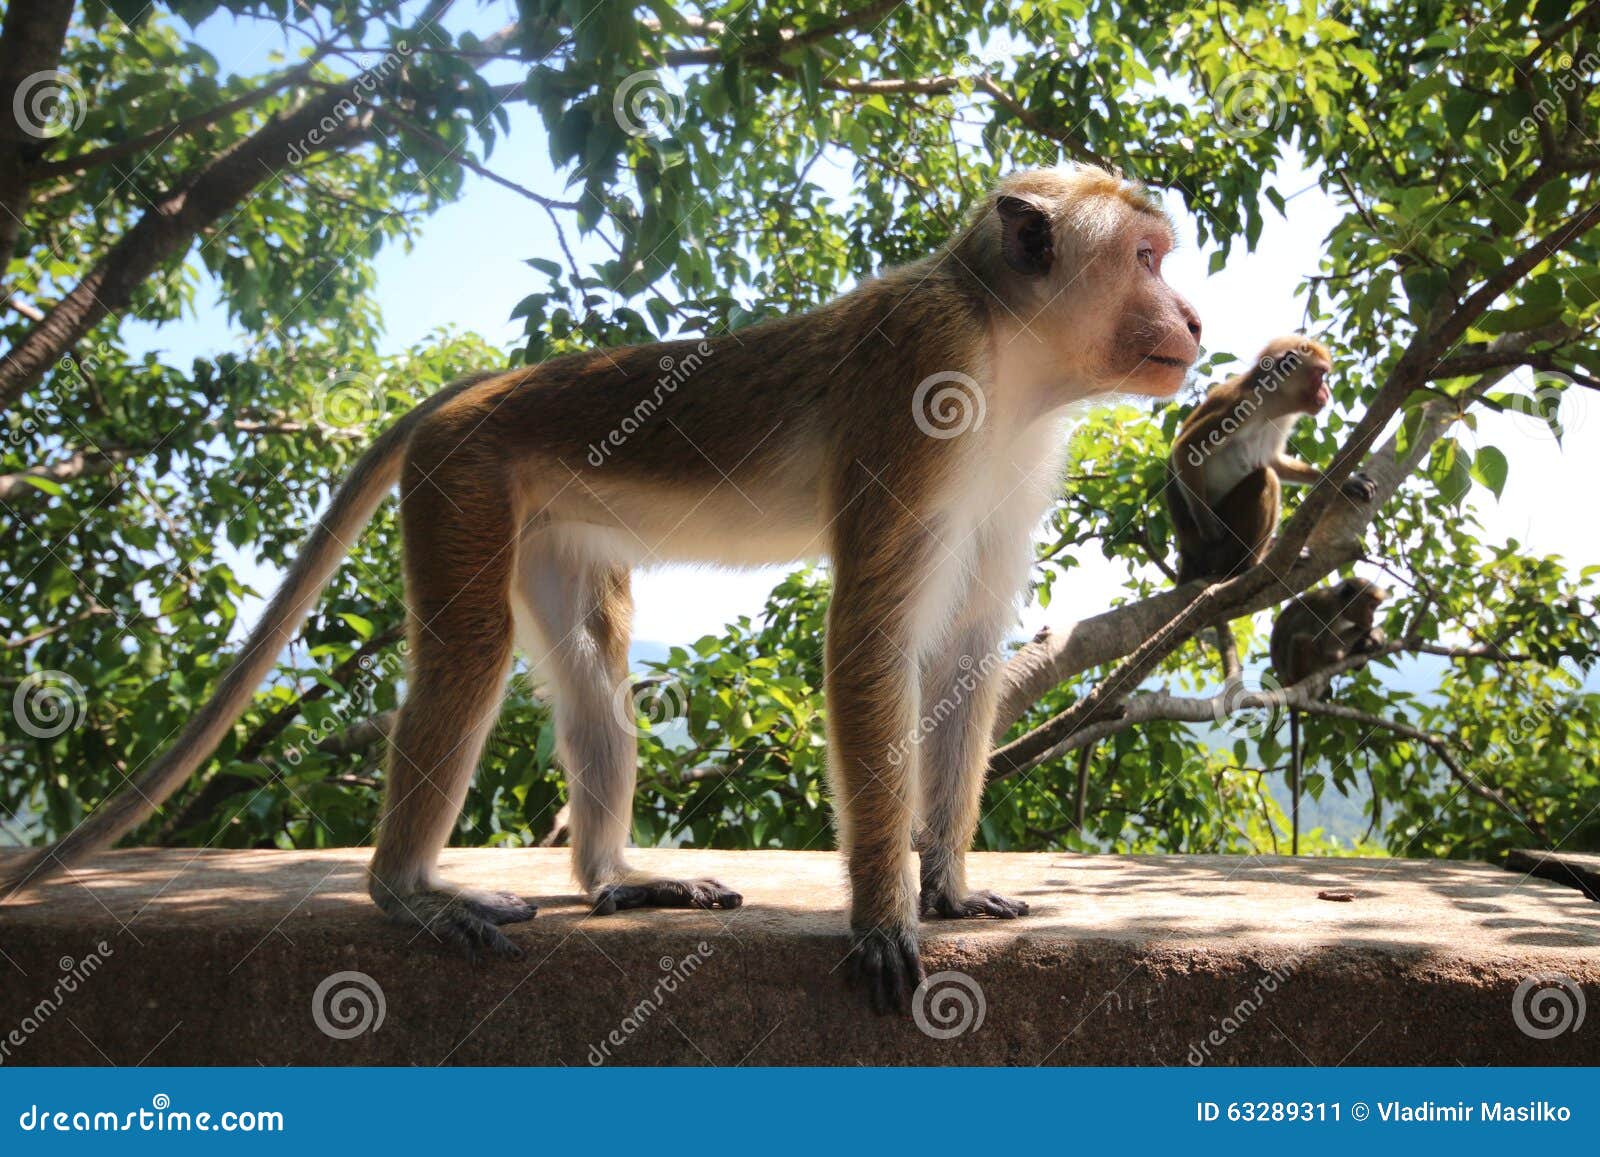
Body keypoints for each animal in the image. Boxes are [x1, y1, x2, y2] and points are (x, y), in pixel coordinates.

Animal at [0, 165, 1201, 1014]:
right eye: (1147, 255)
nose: (1192, 320)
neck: (1007, 345)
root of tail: (479, 389)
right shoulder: (921, 372)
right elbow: (871, 635)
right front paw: (879, 917)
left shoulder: (1020, 455)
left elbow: (963, 645)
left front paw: (945, 886)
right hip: (463, 481)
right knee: (471, 650)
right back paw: (406, 892)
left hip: (542, 520)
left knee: (588, 666)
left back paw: (613, 877)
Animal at [1165, 335, 1378, 585]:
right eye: (1320, 374)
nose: (1326, 390)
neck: (1270, 403)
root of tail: (1188, 552)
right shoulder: (1240, 405)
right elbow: (1186, 449)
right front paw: (1207, 525)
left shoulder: (1284, 417)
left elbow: (1273, 460)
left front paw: (1348, 481)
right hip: (1215, 550)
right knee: (1264, 479)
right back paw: (1248, 564)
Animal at [1269, 577, 1389, 853]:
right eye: (1370, 605)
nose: (1372, 618)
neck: (1341, 607)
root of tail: (1286, 681)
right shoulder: (1326, 612)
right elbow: (1327, 644)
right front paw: (1369, 634)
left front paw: (1372, 637)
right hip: (1298, 668)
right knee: (1304, 640)